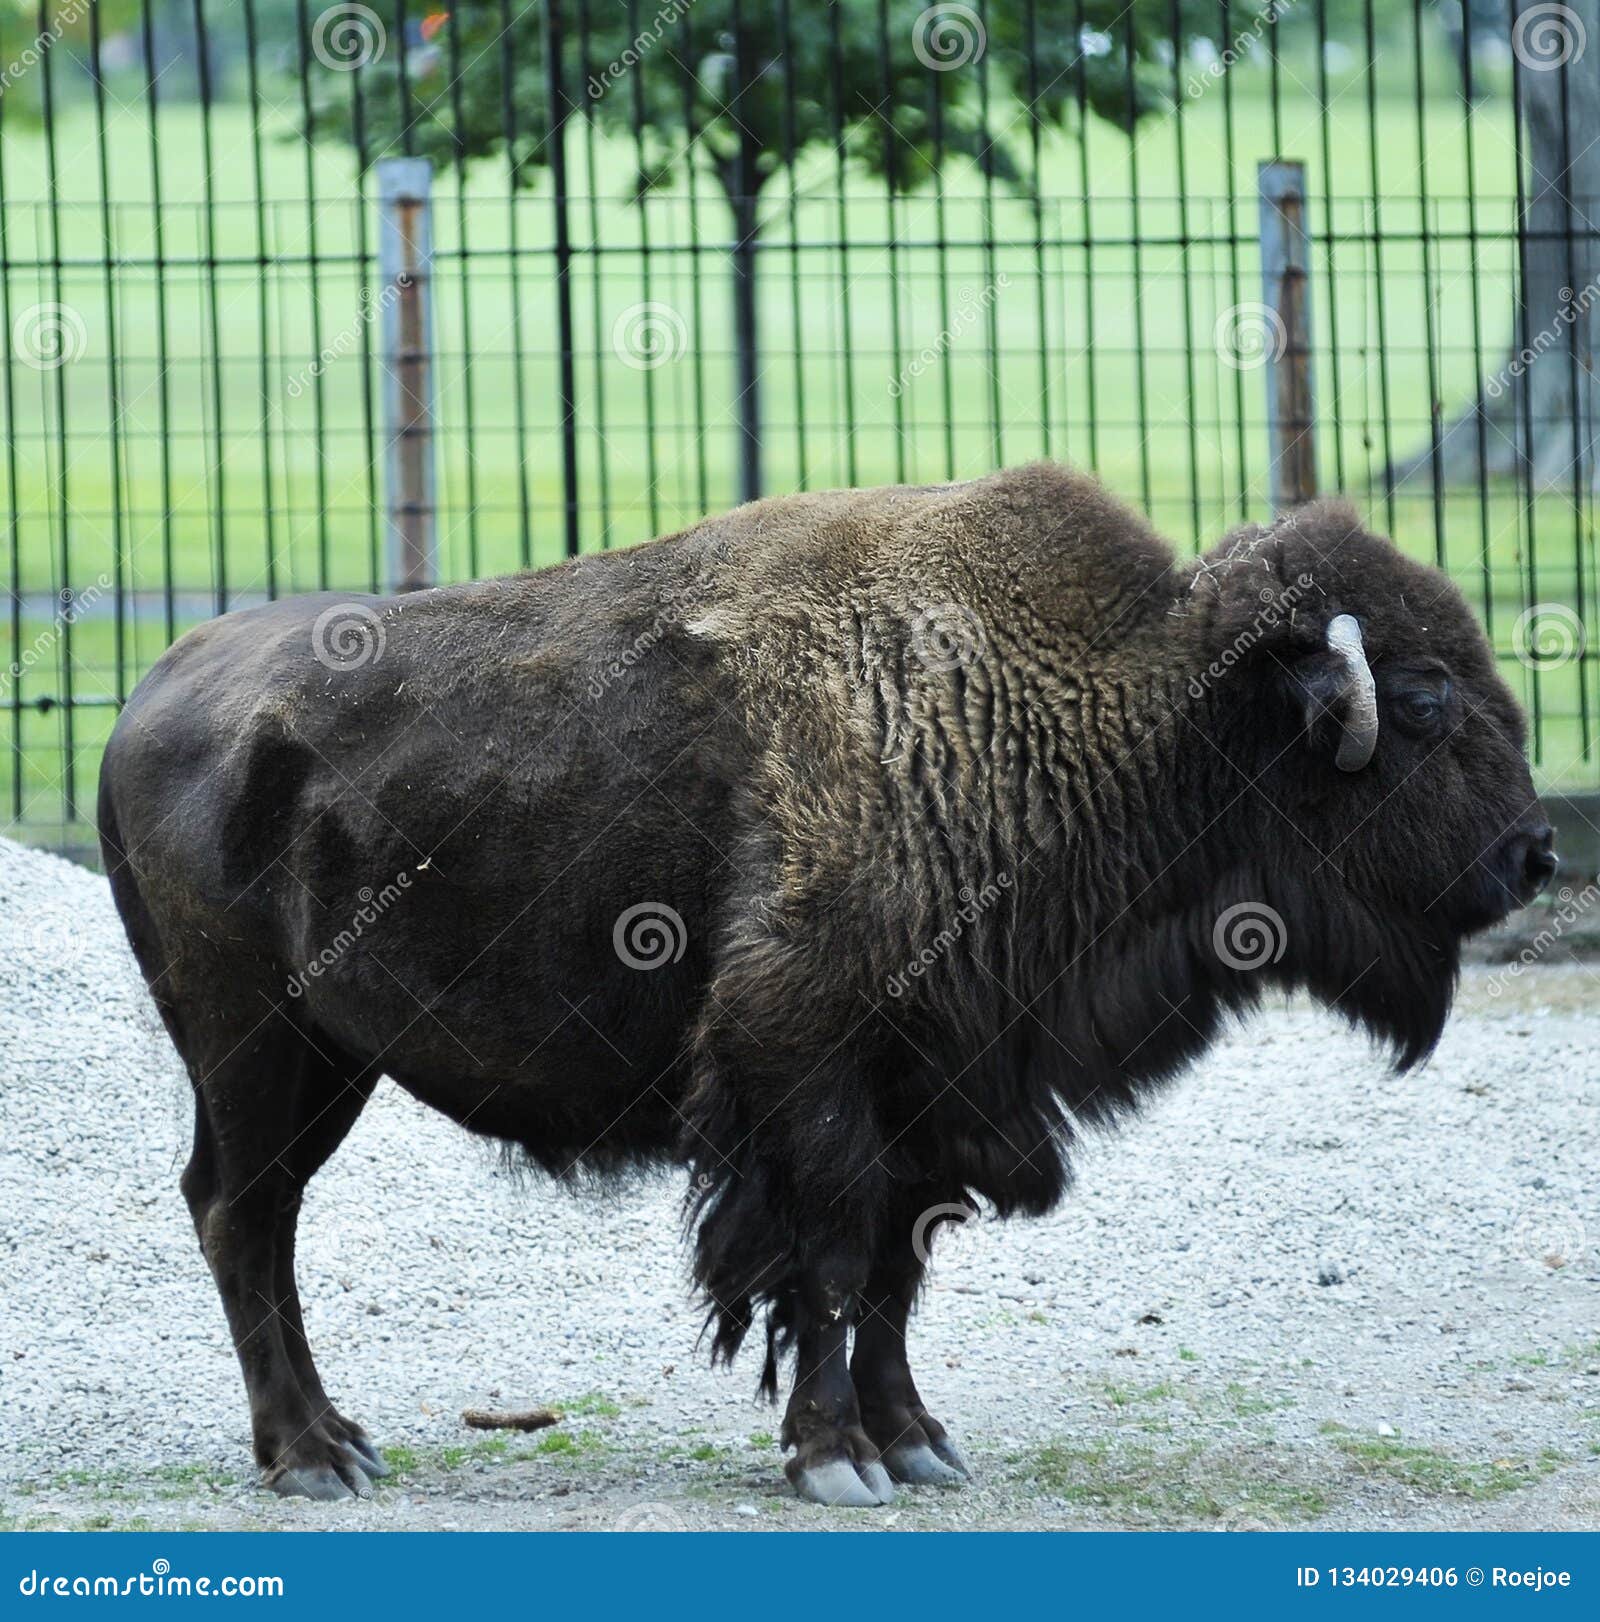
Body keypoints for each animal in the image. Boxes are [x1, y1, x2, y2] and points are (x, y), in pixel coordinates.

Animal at [98, 464, 1552, 1507]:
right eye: (1426, 696)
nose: (1535, 854)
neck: (1103, 714)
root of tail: (146, 698)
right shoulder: (811, 1066)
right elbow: (837, 1260)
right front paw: (836, 1459)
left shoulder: (941, 1084)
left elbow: (900, 1267)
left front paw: (916, 1444)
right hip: (256, 1050)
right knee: (245, 1216)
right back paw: (314, 1457)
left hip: (324, 1060)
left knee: (252, 1216)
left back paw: (335, 1441)